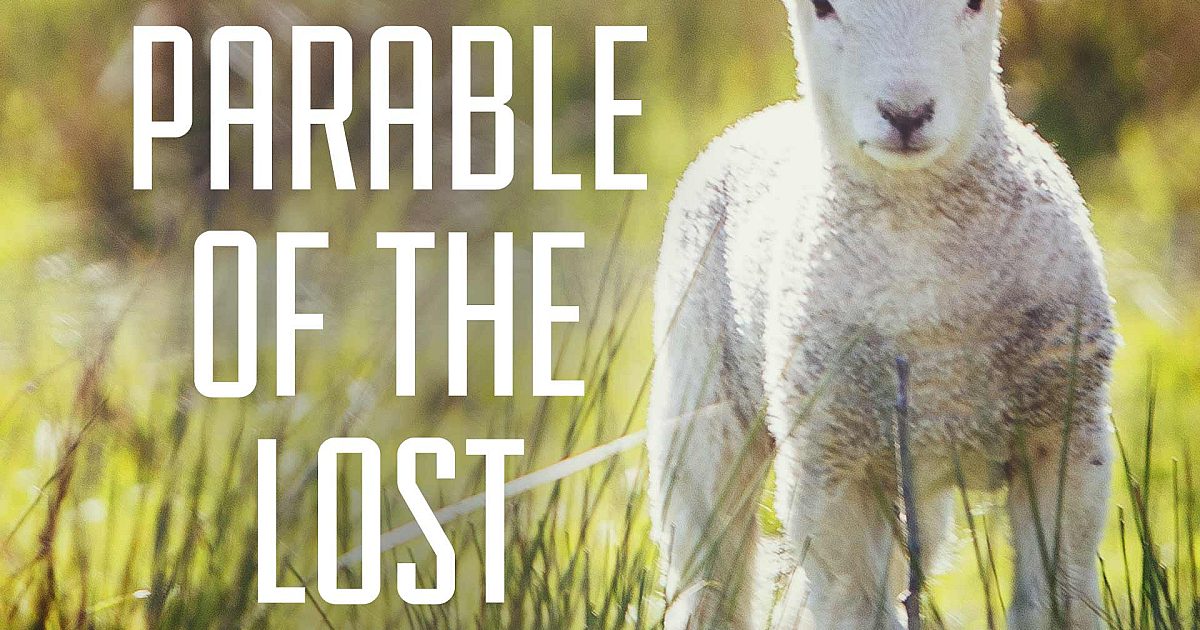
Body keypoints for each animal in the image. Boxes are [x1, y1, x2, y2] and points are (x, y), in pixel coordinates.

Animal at [646, 0, 1116, 628]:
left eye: (975, 5)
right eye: (822, 7)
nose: (906, 113)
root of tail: (757, 121)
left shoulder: (1063, 438)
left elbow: (1058, 593)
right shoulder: (829, 466)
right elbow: (853, 601)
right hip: (702, 410)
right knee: (710, 568)